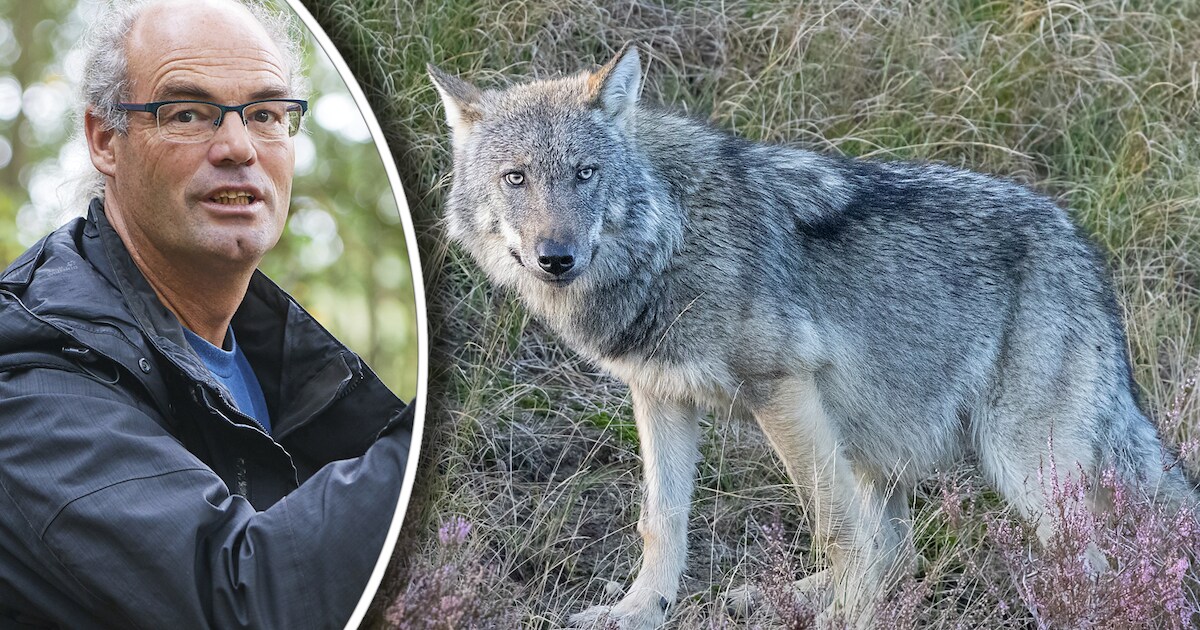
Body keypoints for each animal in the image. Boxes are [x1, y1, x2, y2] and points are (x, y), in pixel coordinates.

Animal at [428, 43, 1196, 628]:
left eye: (585, 174)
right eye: (516, 178)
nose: (556, 257)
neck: (673, 237)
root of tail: (1089, 258)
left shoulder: (781, 391)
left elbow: (832, 525)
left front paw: (849, 621)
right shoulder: (660, 397)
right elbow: (663, 520)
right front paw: (639, 612)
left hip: (1019, 467)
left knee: (1083, 567)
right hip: (875, 431)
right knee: (897, 551)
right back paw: (785, 595)